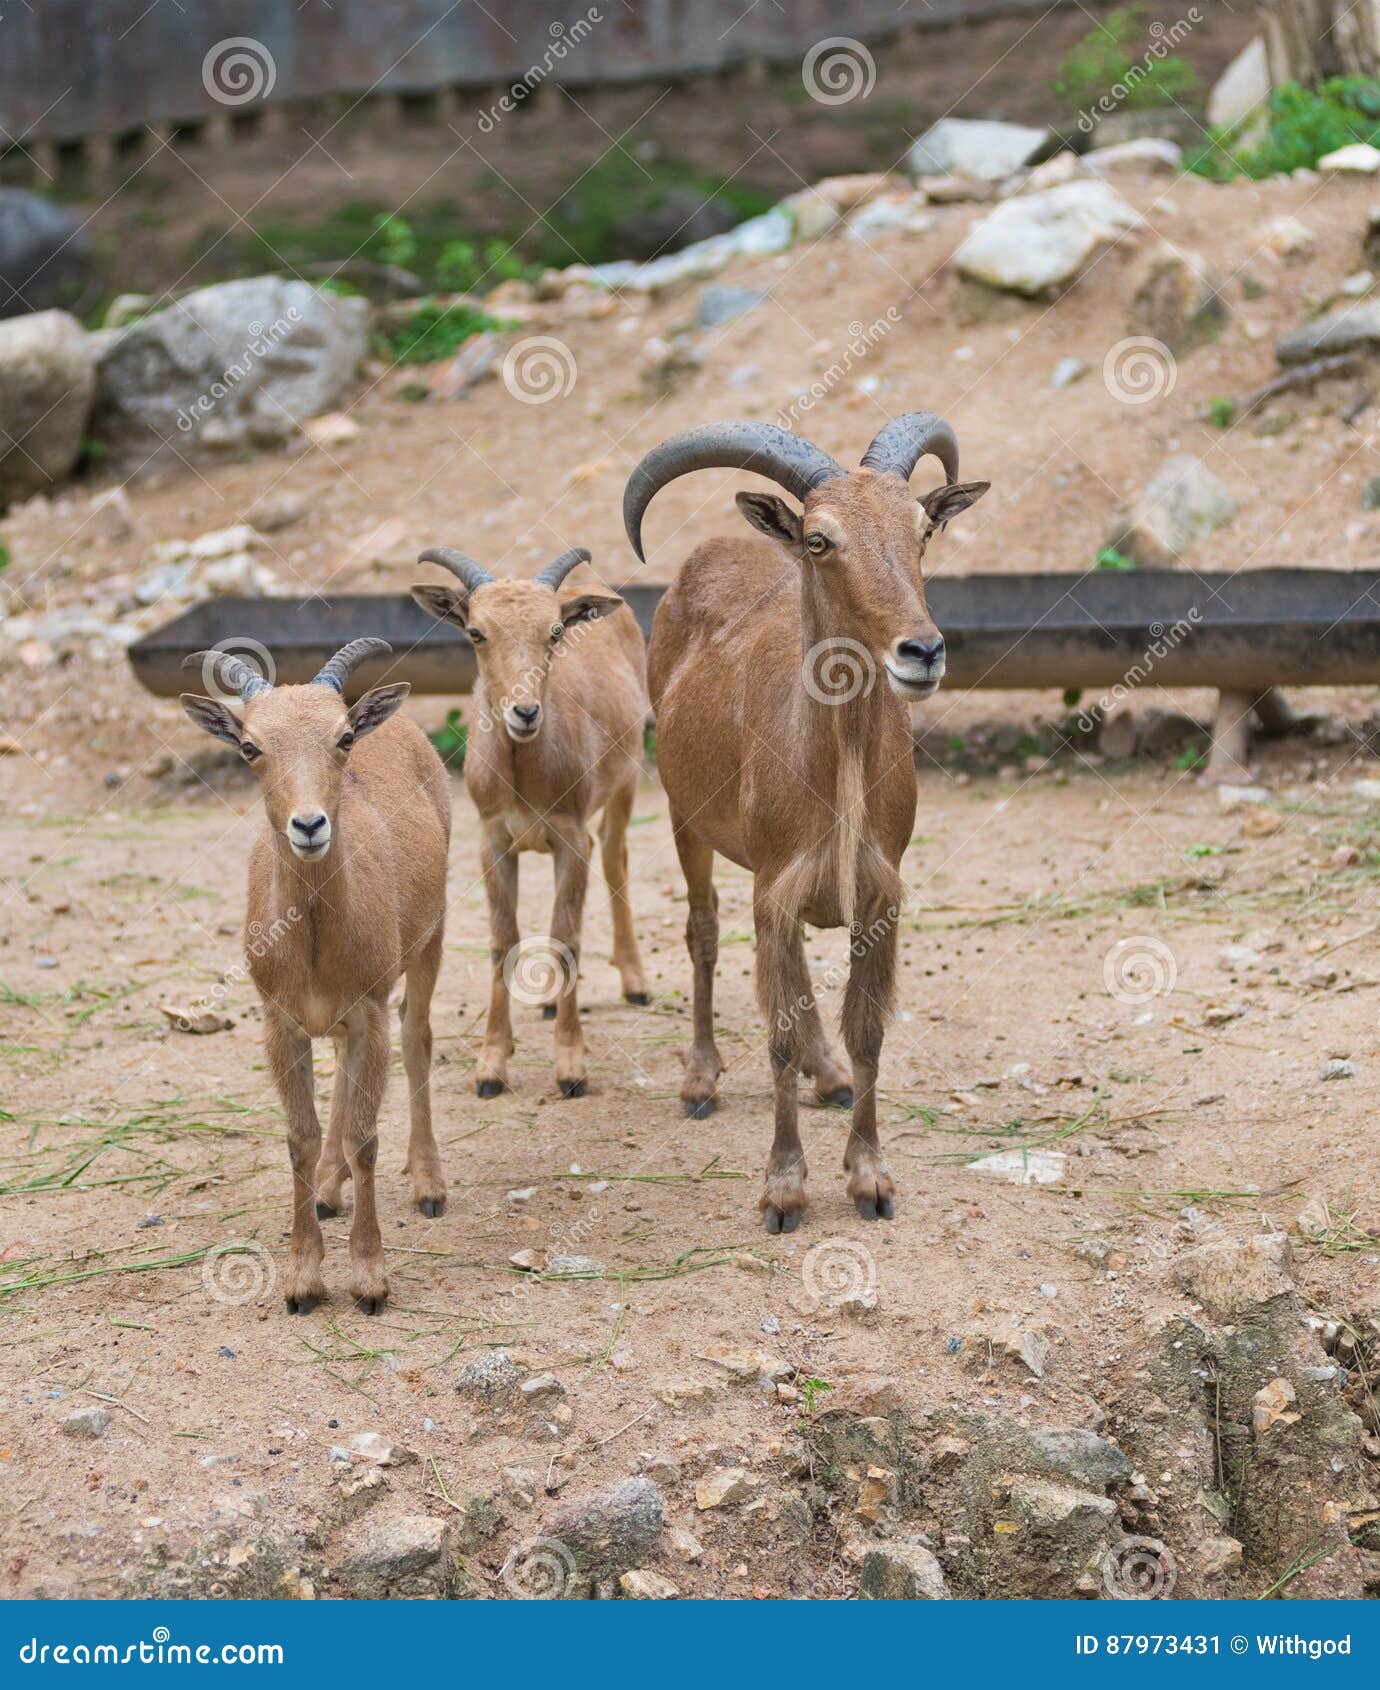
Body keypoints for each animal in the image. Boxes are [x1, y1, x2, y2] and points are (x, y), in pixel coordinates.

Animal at [180, 639, 450, 1314]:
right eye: (249, 746)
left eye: (343, 737)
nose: (309, 825)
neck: (312, 944)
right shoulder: (281, 1021)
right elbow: (300, 1136)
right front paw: (303, 1279)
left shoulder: (370, 1010)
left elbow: (365, 1137)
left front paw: (370, 1278)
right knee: (344, 1078)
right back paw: (329, 1190)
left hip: (431, 937)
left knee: (417, 1037)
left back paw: (429, 1183)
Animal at [411, 544, 649, 1099]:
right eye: (476, 632)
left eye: (555, 632)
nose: (524, 712)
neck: (524, 772)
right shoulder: (494, 839)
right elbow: (504, 940)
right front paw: (491, 1067)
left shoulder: (571, 836)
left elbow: (566, 937)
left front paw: (571, 1066)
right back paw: (546, 1000)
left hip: (627, 779)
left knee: (616, 856)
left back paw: (634, 983)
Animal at [624, 415, 989, 1232]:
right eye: (820, 539)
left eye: (922, 529)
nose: (923, 651)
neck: (835, 761)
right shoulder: (775, 890)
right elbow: (779, 1037)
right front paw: (784, 1189)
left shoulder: (877, 892)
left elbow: (867, 1029)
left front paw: (870, 1179)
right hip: (685, 818)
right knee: (701, 931)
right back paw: (701, 1081)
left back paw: (831, 1077)